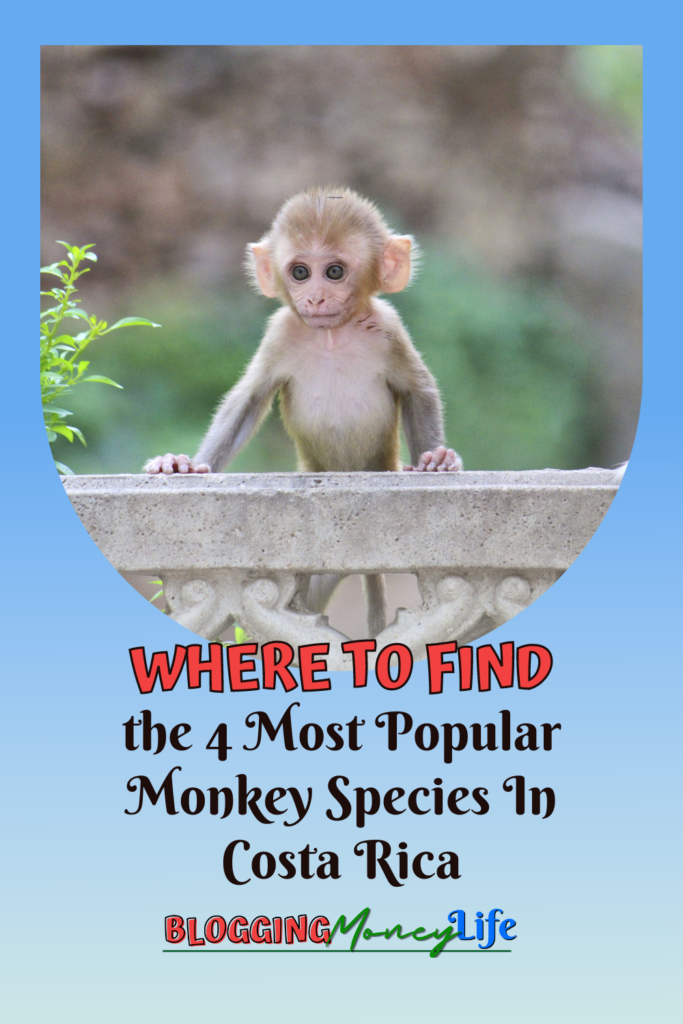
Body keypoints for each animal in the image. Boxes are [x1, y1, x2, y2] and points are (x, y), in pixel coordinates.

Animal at [145, 186, 462, 635]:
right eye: (299, 272)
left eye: (334, 272)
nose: (314, 296)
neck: (330, 335)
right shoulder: (279, 333)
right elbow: (248, 400)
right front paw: (183, 465)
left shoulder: (389, 328)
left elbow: (418, 389)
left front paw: (436, 461)